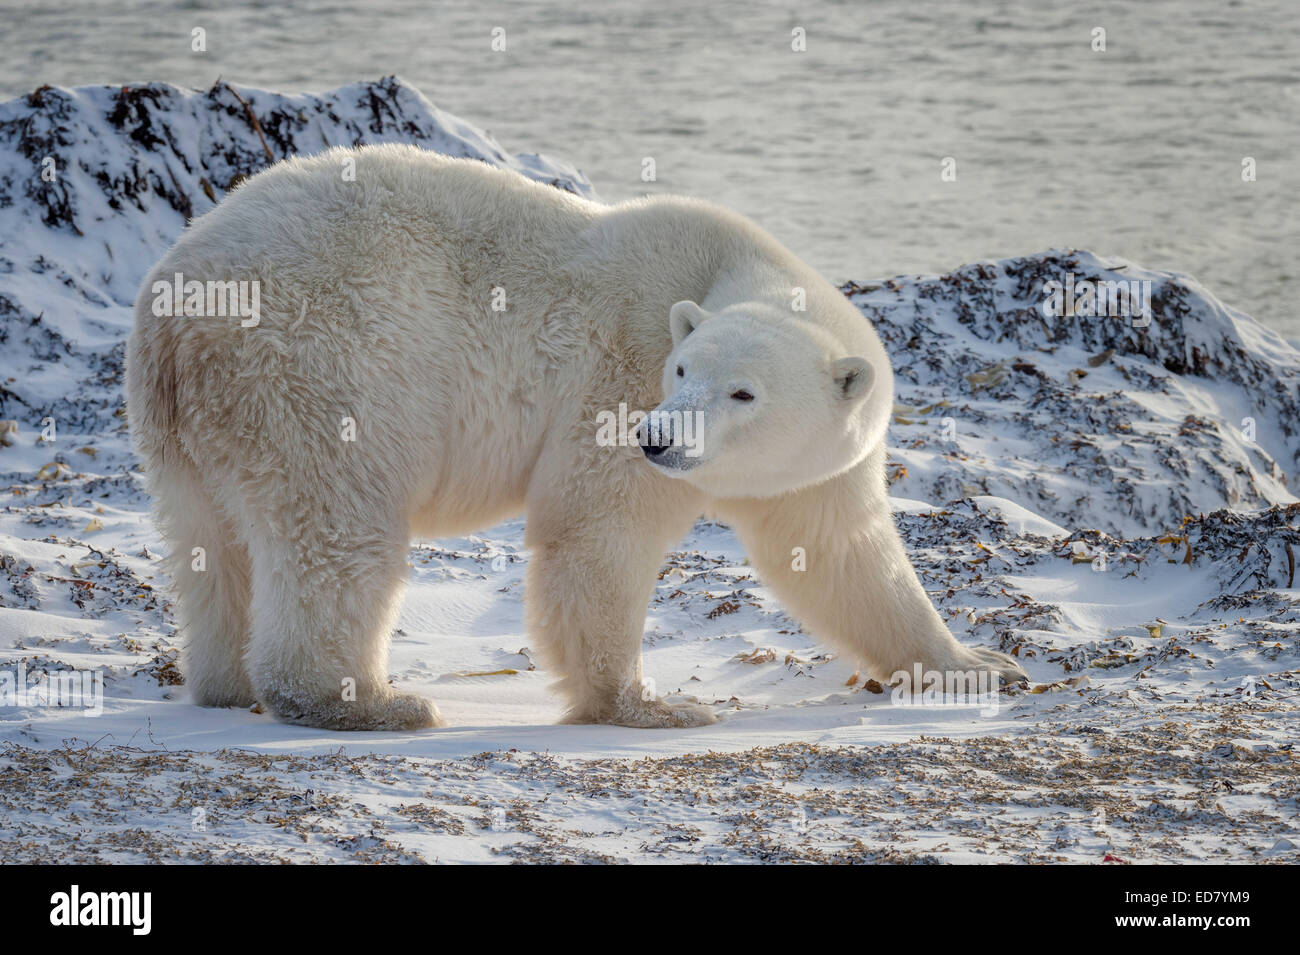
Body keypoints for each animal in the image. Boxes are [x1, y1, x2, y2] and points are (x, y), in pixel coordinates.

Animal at [125, 142, 1027, 731]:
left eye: (742, 391)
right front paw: (651, 703)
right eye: (679, 370)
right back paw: (371, 700)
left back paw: (225, 682)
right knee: (340, 525)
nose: (657, 437)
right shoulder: (616, 373)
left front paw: (978, 667)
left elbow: (842, 556)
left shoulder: (817, 465)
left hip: (188, 429)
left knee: (212, 545)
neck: (721, 266)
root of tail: (176, 312)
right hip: (321, 364)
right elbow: (597, 532)